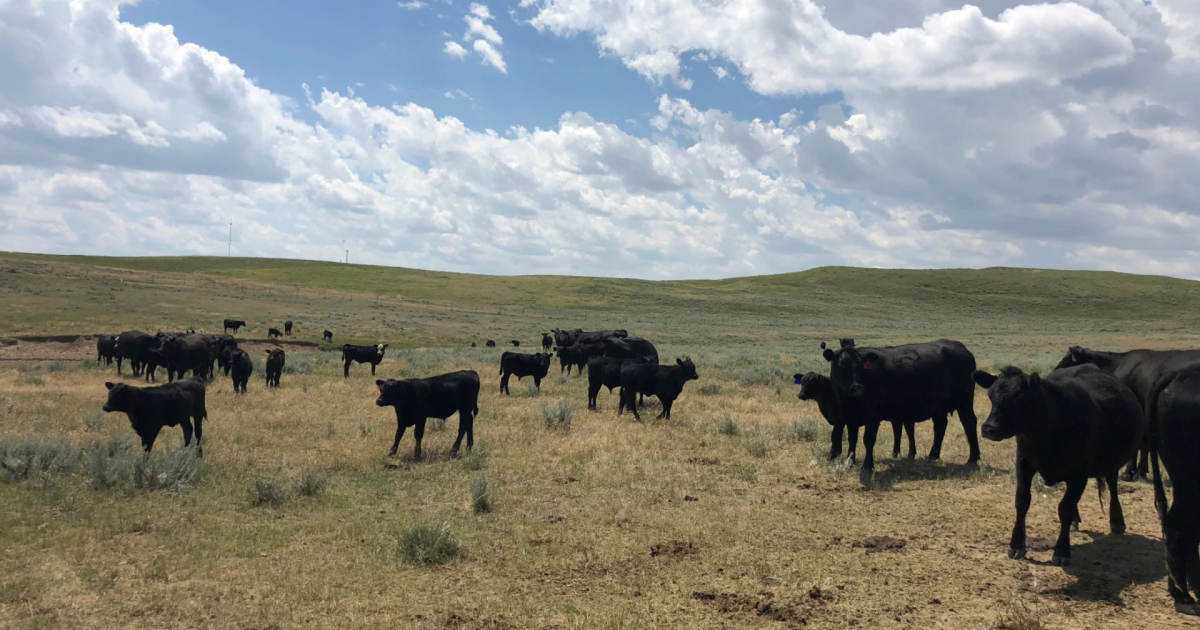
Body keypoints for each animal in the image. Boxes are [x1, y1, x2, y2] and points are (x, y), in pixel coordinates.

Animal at [822, 339, 981, 473]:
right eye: (841, 364)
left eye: (862, 365)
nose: (857, 388)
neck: (850, 401)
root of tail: (961, 347)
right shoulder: (850, 416)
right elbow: (852, 437)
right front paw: (850, 461)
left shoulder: (873, 416)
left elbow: (868, 439)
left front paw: (867, 466)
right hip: (940, 407)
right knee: (940, 426)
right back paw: (933, 456)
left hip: (964, 401)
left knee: (969, 423)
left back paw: (973, 459)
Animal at [973, 365, 1143, 568]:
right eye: (991, 396)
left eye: (1019, 399)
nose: (988, 428)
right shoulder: (1023, 464)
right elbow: (1022, 502)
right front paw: (1017, 544)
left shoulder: (1079, 474)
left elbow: (1065, 509)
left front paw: (1062, 551)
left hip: (1111, 462)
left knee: (1112, 484)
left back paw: (1117, 520)